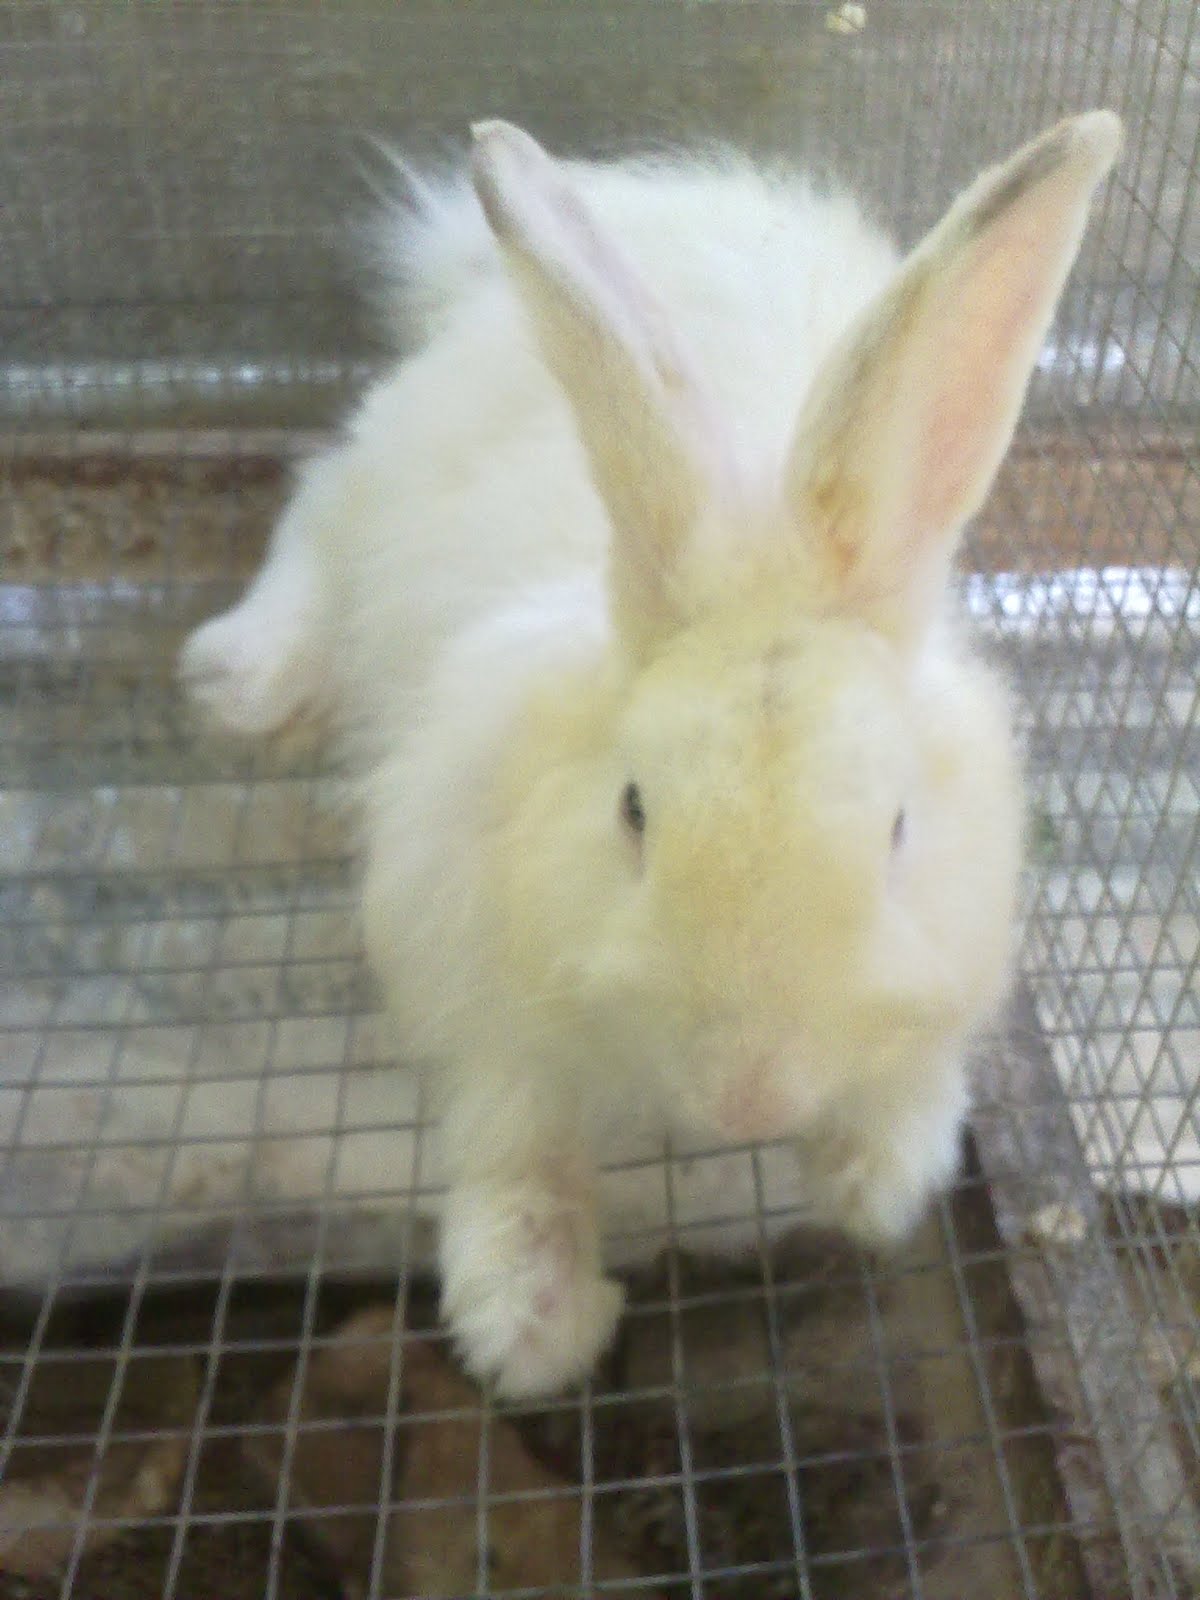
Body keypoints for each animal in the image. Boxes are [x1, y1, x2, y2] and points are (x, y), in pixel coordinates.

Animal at [178, 112, 1121, 1397]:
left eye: (898, 831)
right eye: (632, 811)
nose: (750, 1095)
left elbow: (911, 1089)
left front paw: (868, 1178)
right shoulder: (470, 972)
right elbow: (513, 1136)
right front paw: (529, 1317)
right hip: (389, 459)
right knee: (322, 498)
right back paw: (247, 675)